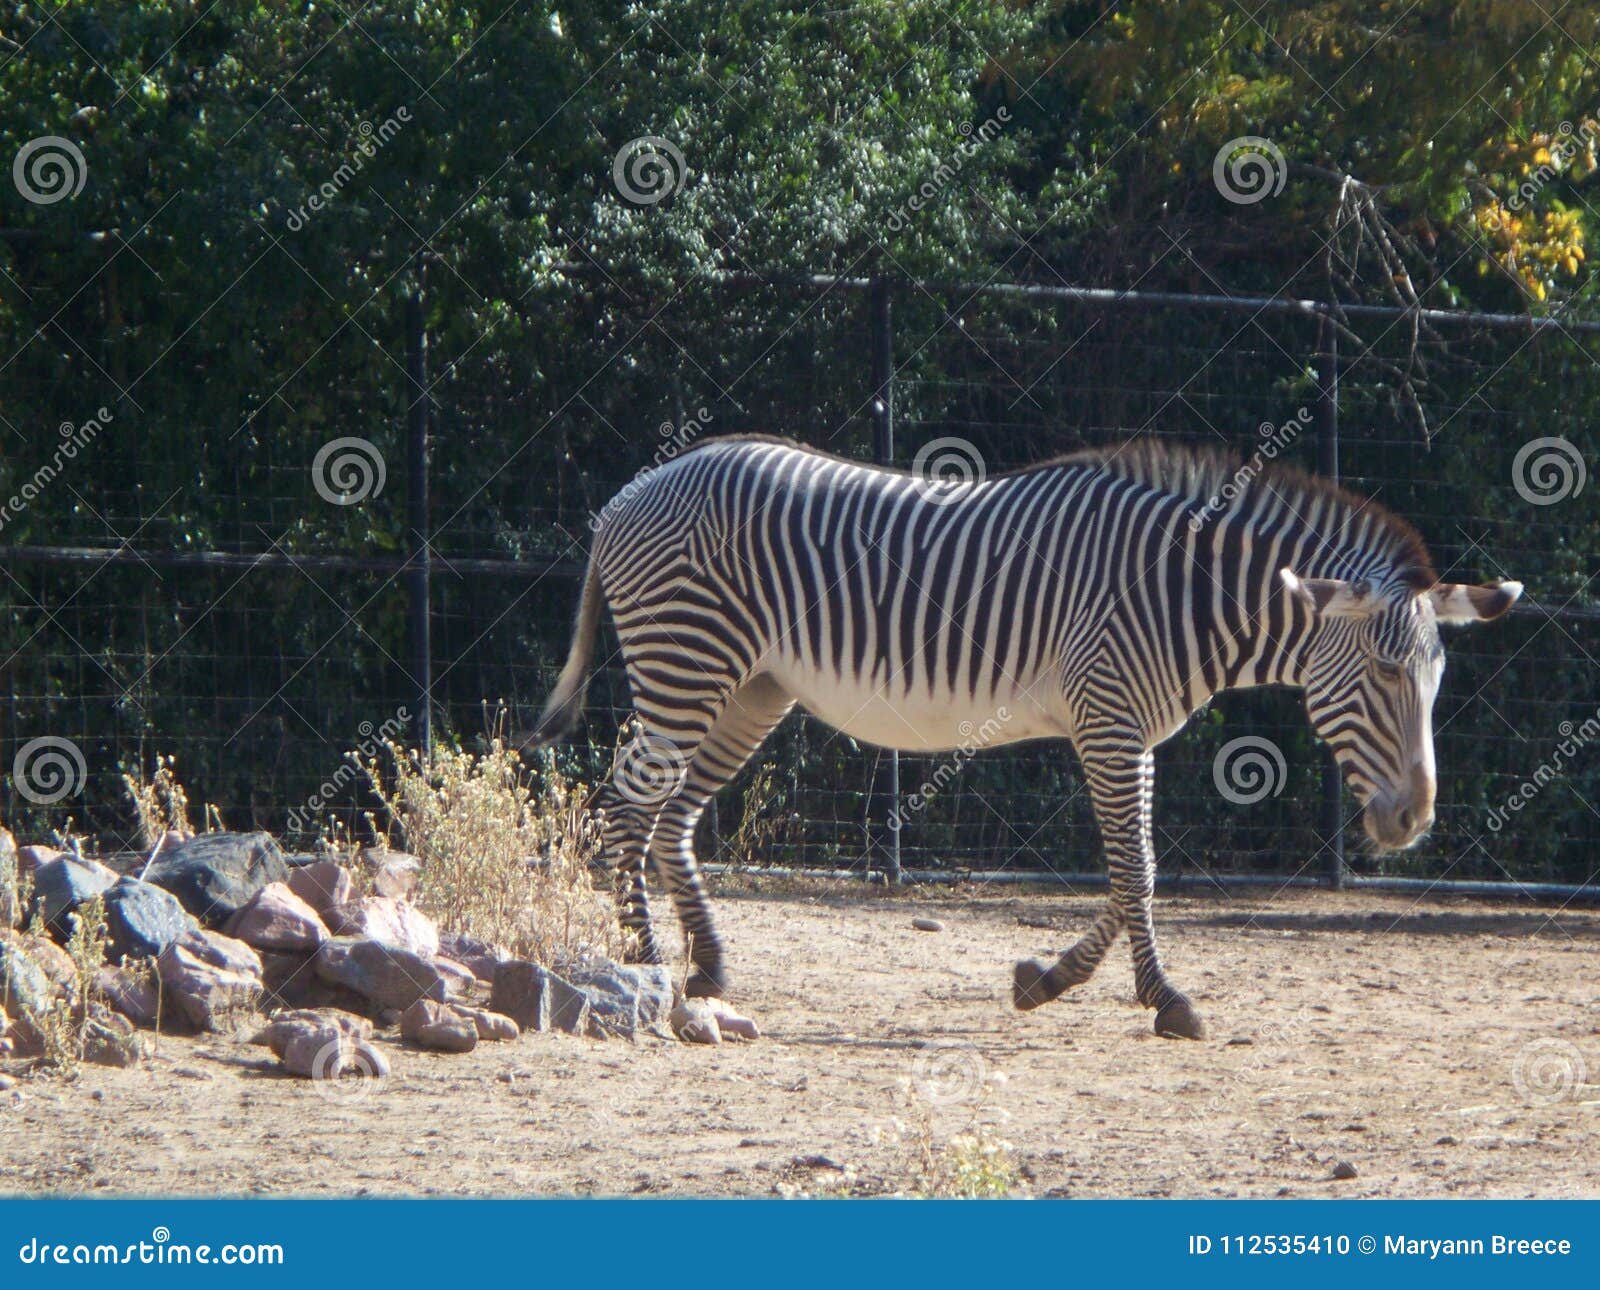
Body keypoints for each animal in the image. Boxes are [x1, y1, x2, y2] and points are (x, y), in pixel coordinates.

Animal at [526, 435, 1521, 1039]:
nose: (1413, 823)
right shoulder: (1108, 718)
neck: (1185, 597)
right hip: (687, 666)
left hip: (749, 688)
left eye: (1437, 679)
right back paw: (648, 971)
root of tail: (628, 494)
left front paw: (1046, 979)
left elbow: (1132, 875)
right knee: (624, 807)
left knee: (672, 818)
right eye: (1386, 674)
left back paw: (707, 968)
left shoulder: (1131, 731)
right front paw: (1167, 1001)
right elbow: (1137, 869)